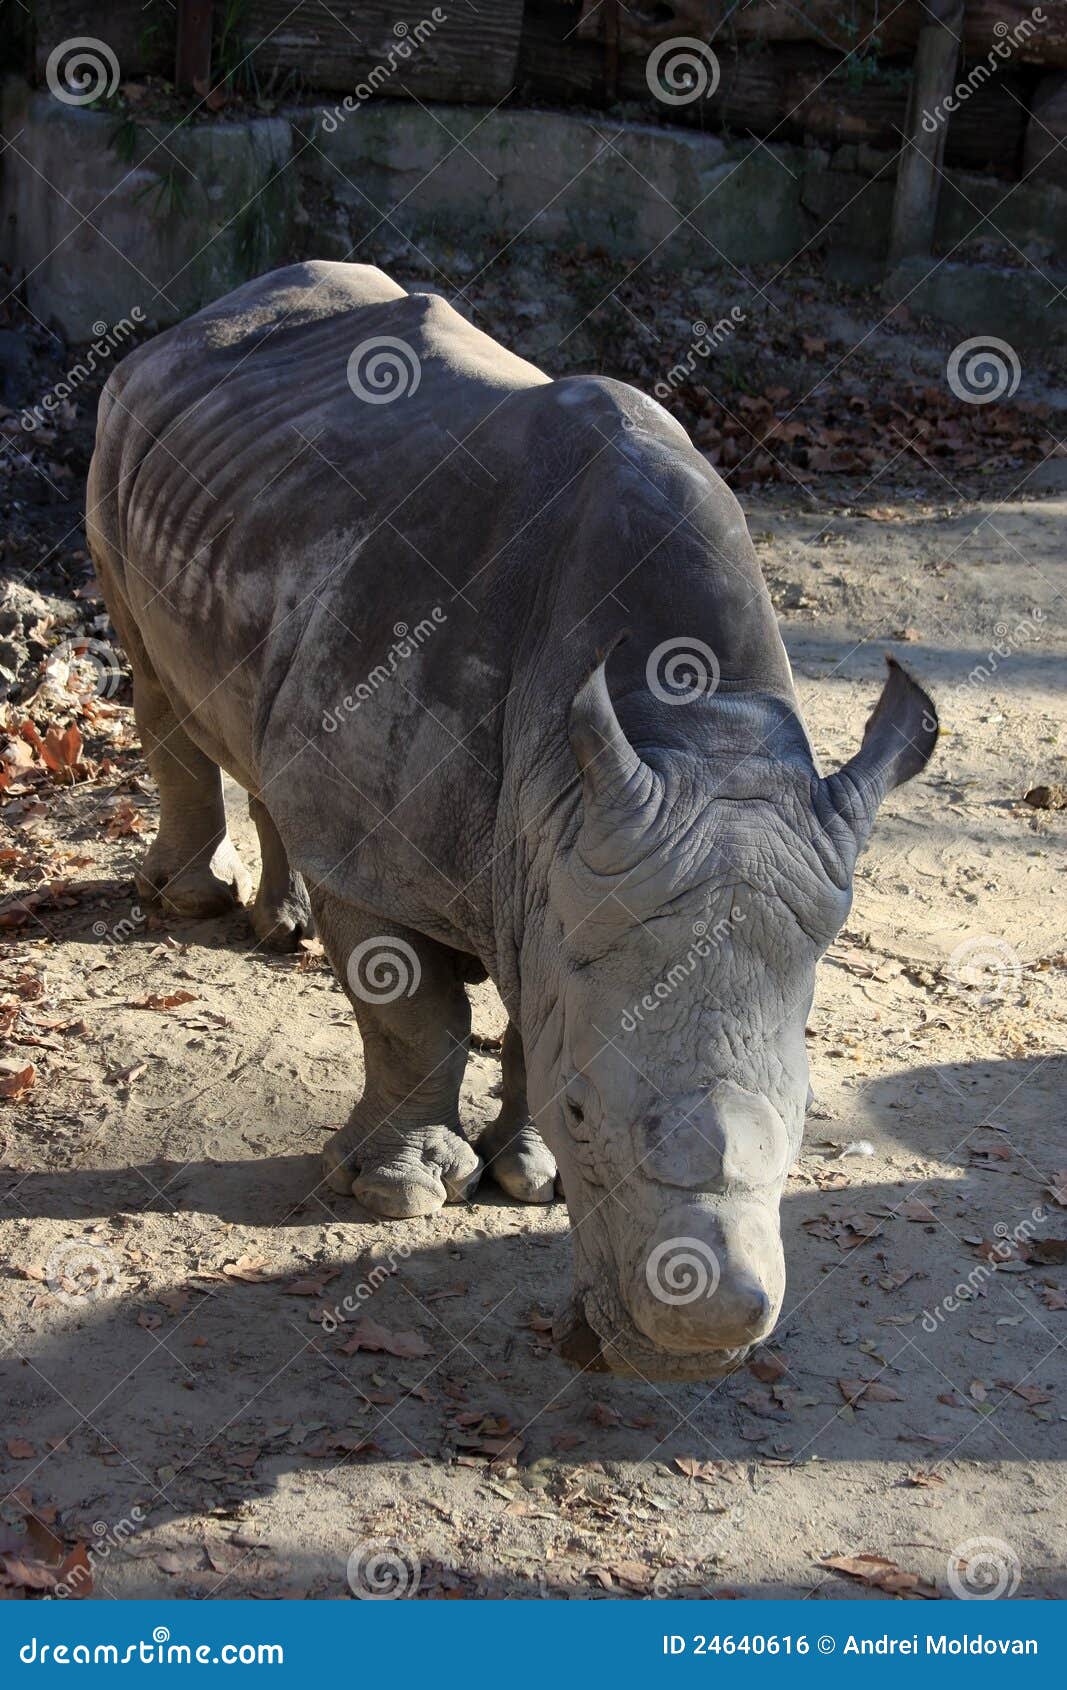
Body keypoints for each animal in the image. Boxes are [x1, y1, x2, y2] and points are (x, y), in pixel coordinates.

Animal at [87, 262, 937, 1382]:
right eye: (587, 1116)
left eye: (805, 1124)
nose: (698, 1342)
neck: (688, 726)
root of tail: (203, 314)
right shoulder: (401, 858)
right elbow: (417, 1017)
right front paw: (399, 1192)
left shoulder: (574, 860)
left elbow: (539, 1015)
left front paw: (531, 1180)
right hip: (121, 434)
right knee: (157, 678)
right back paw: (191, 905)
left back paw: (285, 928)